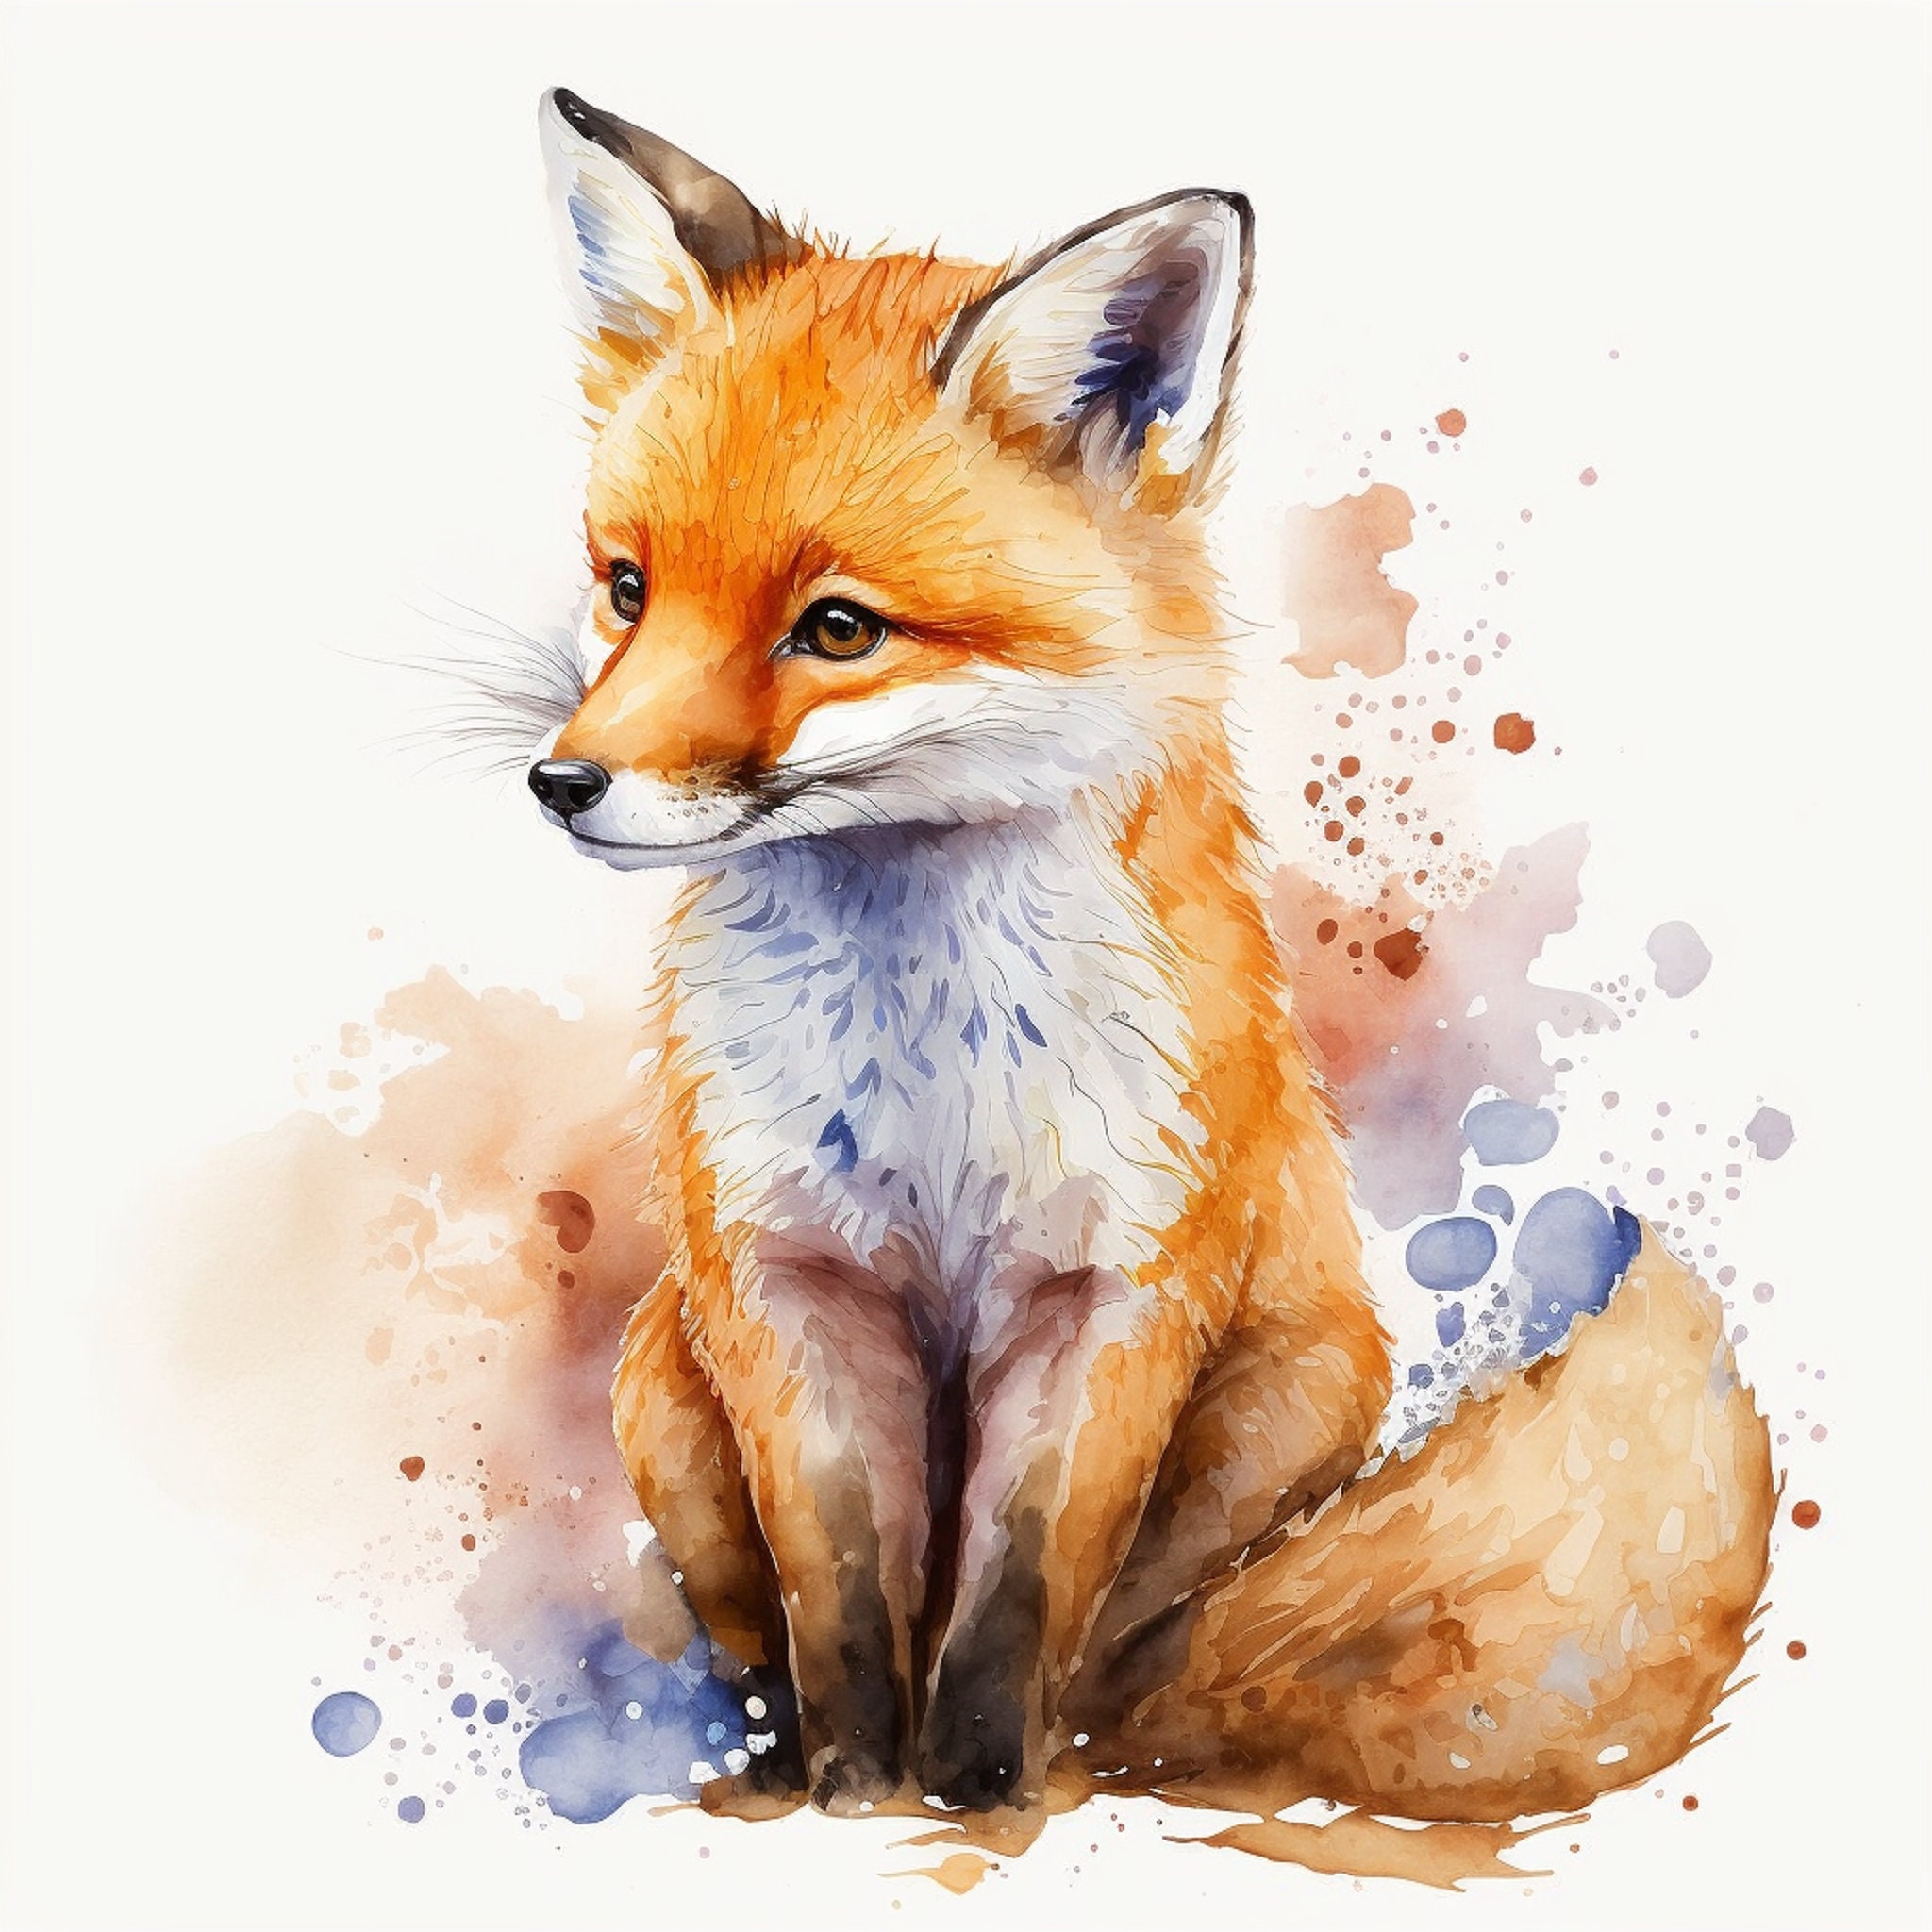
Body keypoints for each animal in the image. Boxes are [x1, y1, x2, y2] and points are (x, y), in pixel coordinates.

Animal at [518, 87, 1773, 1834]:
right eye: (627, 589)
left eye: (837, 629)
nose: (562, 784)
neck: (928, 1076)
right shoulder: (790, 1284)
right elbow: (841, 1609)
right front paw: (855, 1794)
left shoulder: (1109, 1292)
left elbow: (1015, 1604)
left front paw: (974, 1797)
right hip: (661, 1375)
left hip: (1296, 1393)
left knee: (1127, 1659)